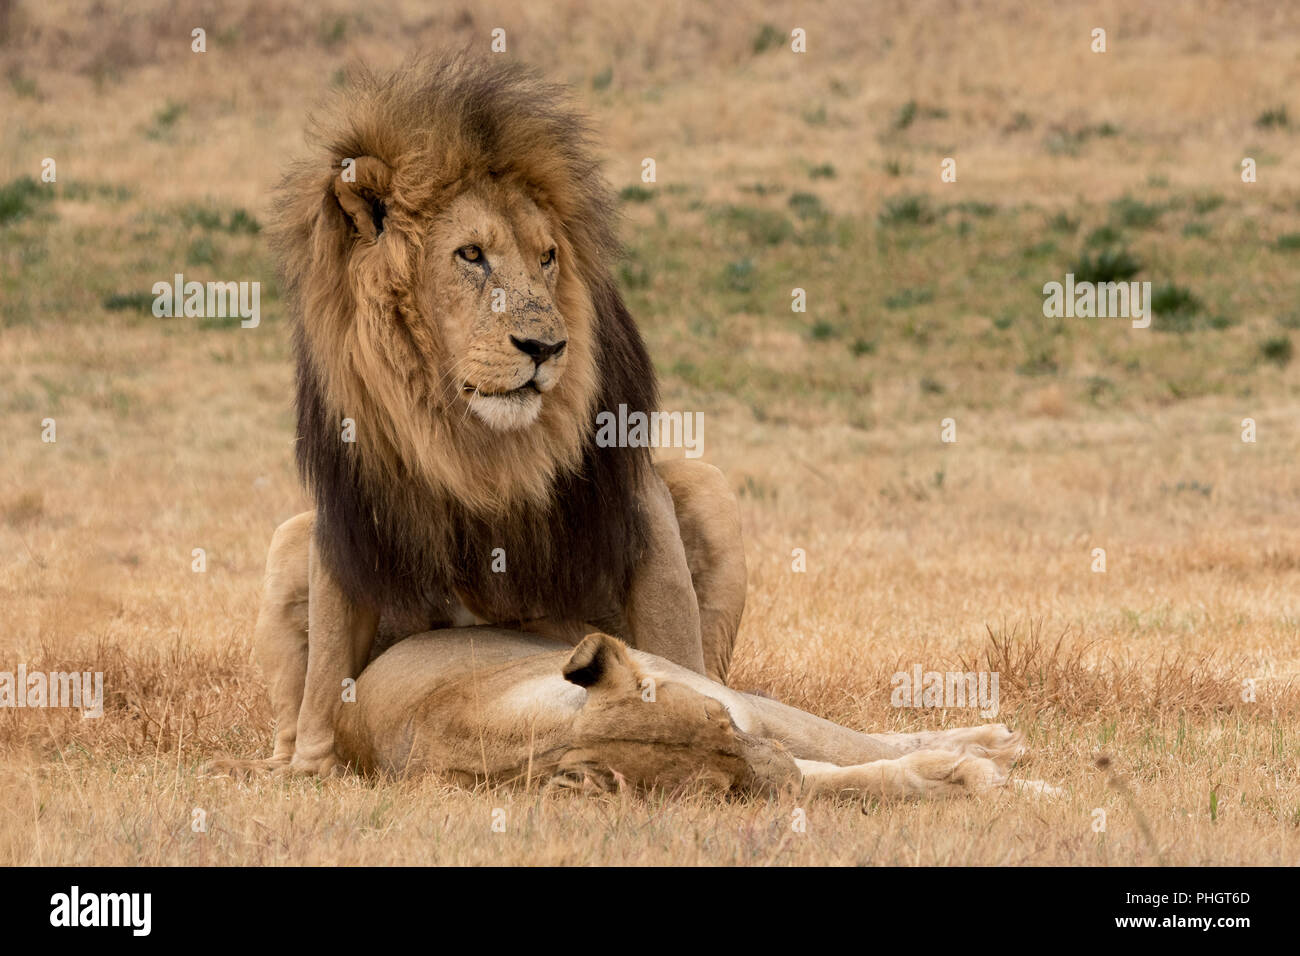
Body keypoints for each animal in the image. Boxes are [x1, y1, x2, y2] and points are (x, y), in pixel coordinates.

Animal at [248, 54, 747, 775]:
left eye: (547, 256)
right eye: (471, 254)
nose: (545, 348)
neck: (468, 435)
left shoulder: (630, 497)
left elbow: (671, 631)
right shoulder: (350, 512)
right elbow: (329, 659)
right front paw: (310, 770)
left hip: (710, 492)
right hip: (289, 539)